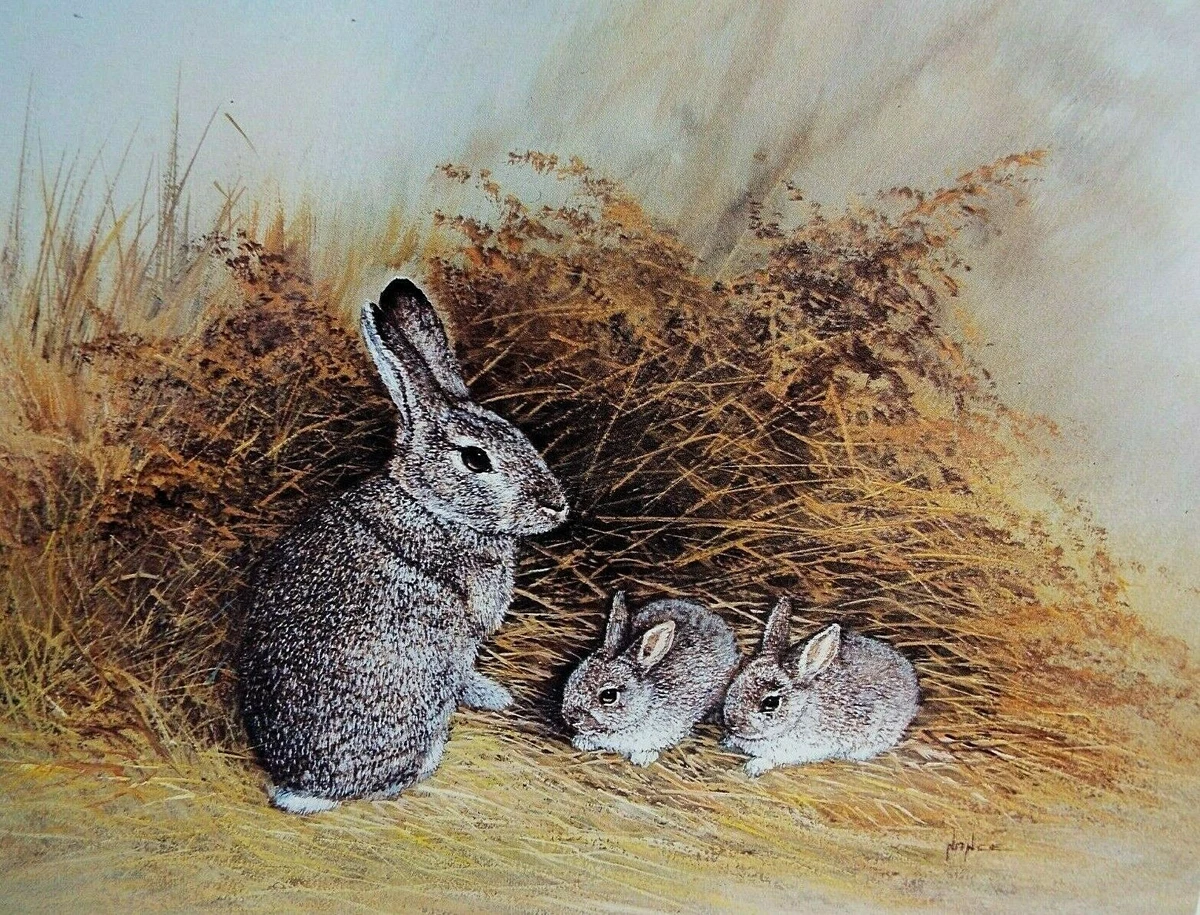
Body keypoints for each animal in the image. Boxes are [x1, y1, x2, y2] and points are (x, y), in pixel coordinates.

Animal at [236, 277, 568, 814]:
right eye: (476, 459)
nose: (556, 506)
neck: (432, 505)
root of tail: (306, 787)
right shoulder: (465, 635)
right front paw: (494, 696)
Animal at [561, 591, 741, 766]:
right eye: (574, 676)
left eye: (609, 695)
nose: (570, 718)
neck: (646, 700)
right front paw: (582, 742)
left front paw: (643, 757)